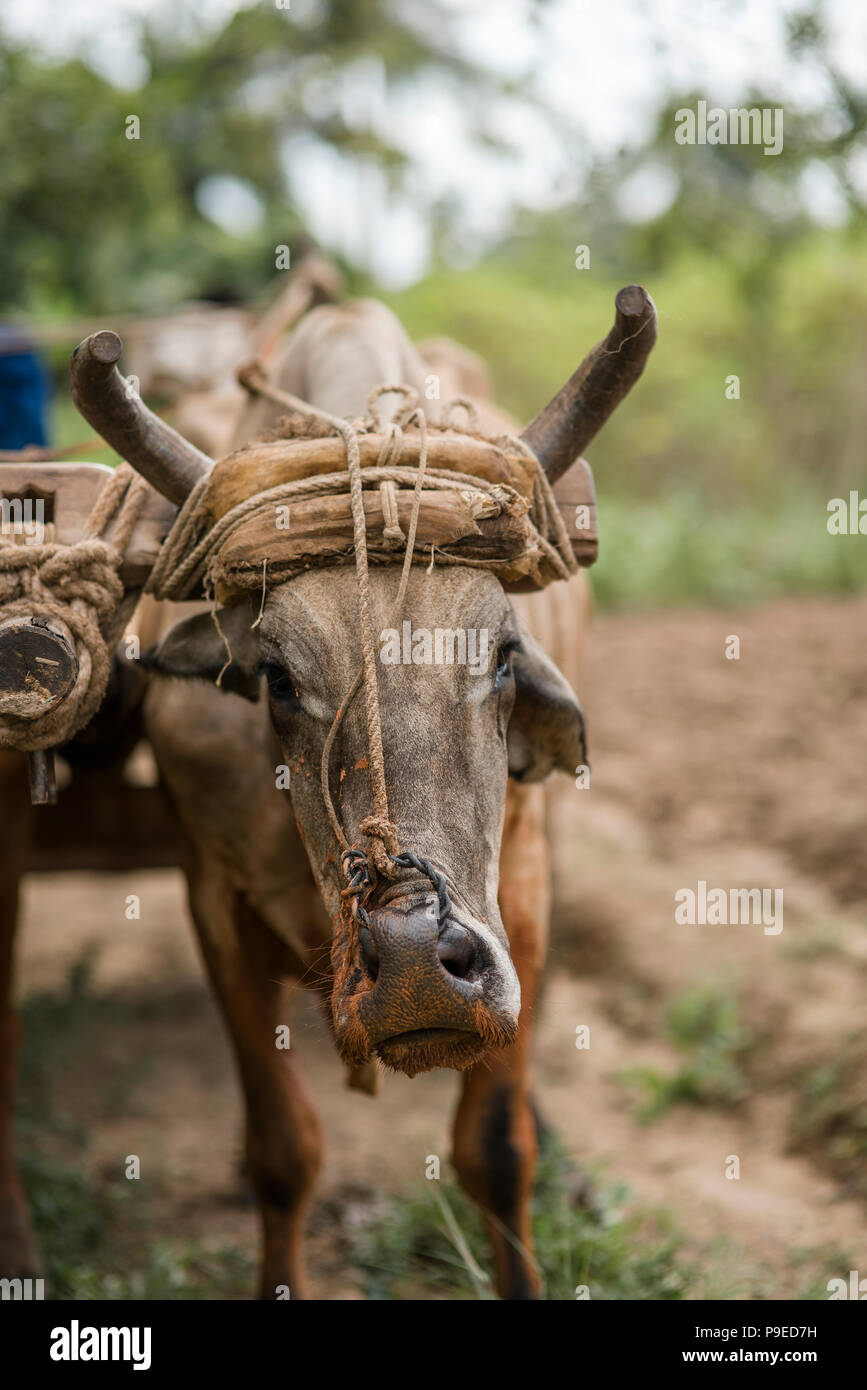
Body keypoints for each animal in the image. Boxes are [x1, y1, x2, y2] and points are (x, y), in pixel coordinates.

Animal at [1, 286, 655, 1300]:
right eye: (273, 676)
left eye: (504, 656)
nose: (418, 966)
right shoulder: (213, 894)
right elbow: (282, 1151)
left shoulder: (525, 882)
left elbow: (496, 1148)